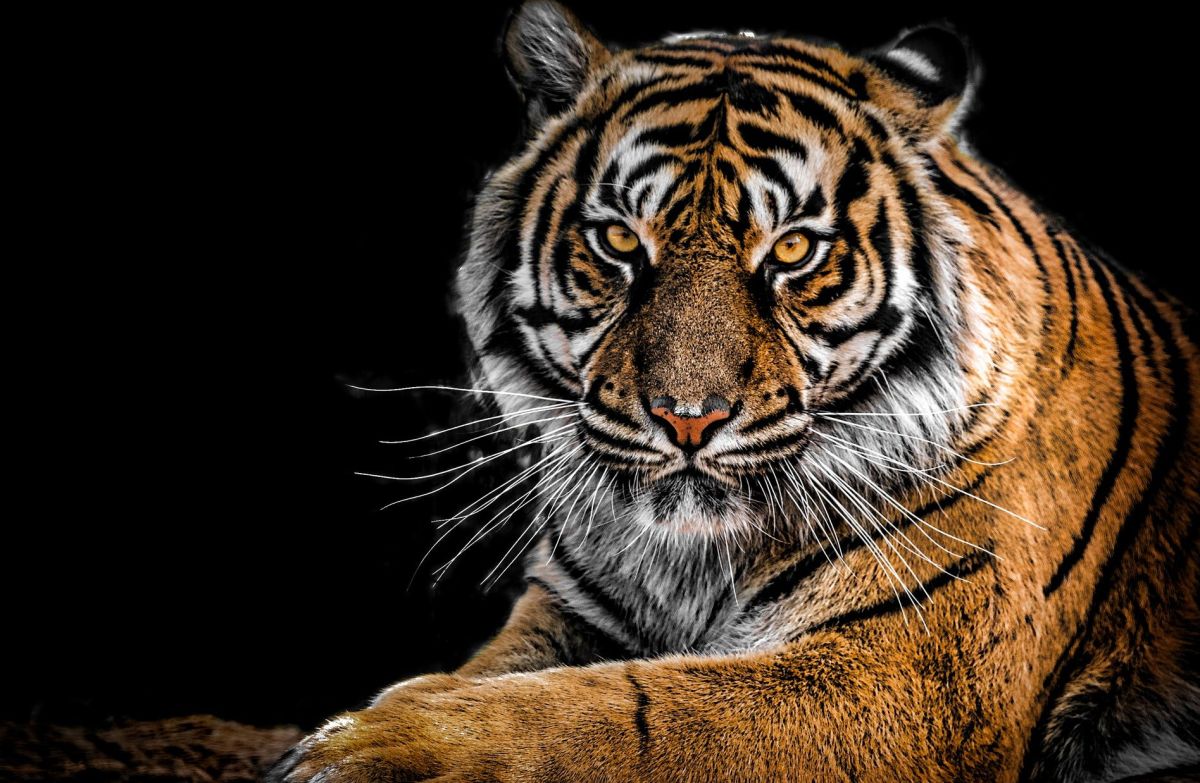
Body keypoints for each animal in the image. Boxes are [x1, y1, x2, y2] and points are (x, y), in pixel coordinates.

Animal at [270, 2, 1200, 781]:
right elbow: (504, 673)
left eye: (791, 250)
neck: (689, 559)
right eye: (618, 241)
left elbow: (625, 710)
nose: (689, 420)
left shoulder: (911, 672)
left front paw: (377, 744)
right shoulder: (567, 608)